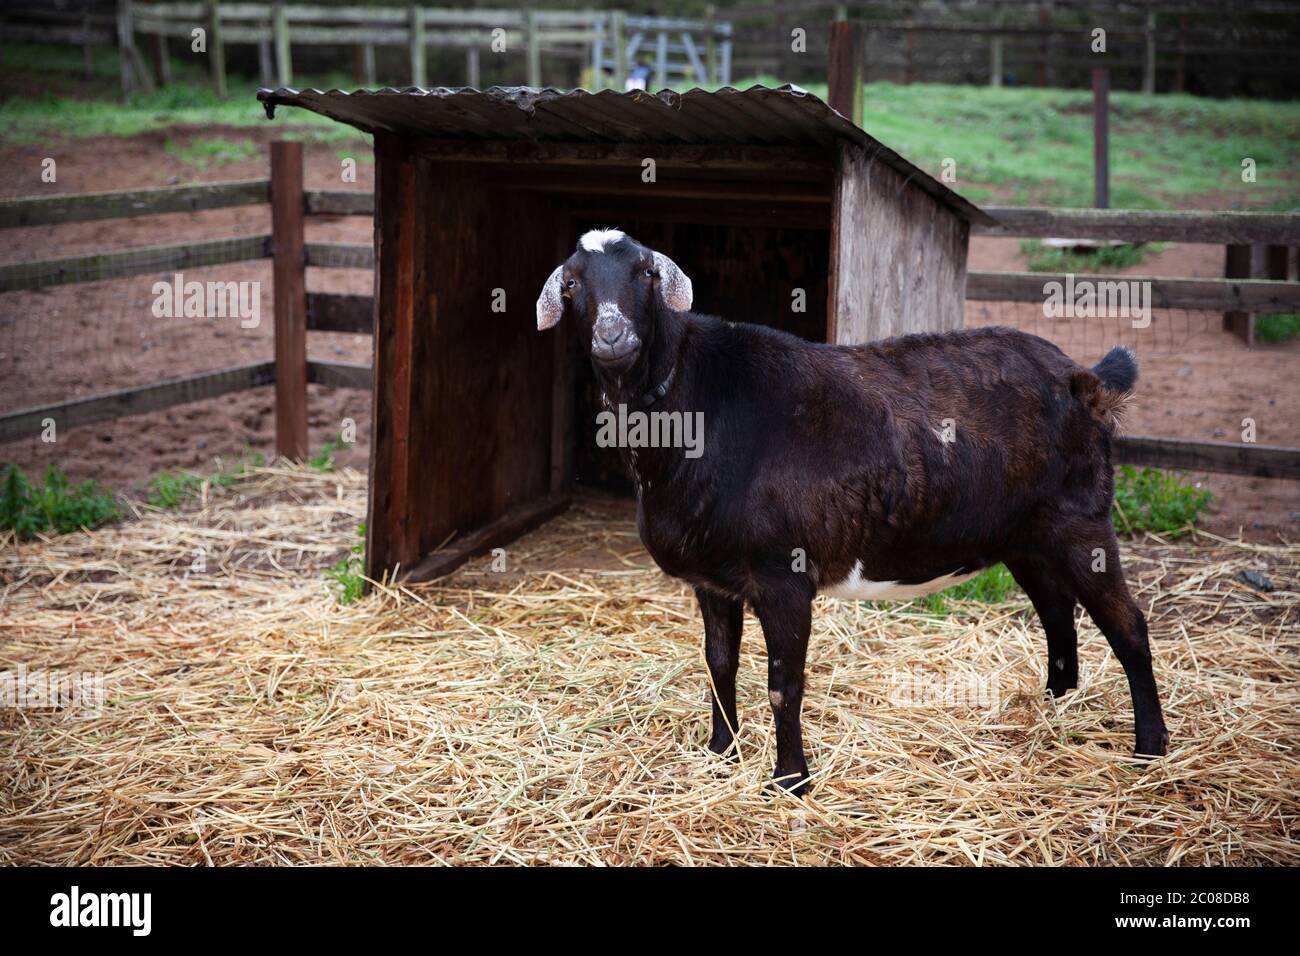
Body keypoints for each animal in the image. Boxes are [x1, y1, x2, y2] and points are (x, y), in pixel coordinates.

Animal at [536, 229, 1169, 795]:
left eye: (646, 272)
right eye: (571, 282)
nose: (612, 336)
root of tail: (1082, 377)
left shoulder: (784, 575)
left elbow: (783, 685)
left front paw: (789, 782)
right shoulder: (713, 580)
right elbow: (719, 666)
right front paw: (720, 753)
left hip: (1082, 519)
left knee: (1127, 625)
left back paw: (1150, 747)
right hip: (1025, 534)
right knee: (1057, 612)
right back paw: (1053, 706)